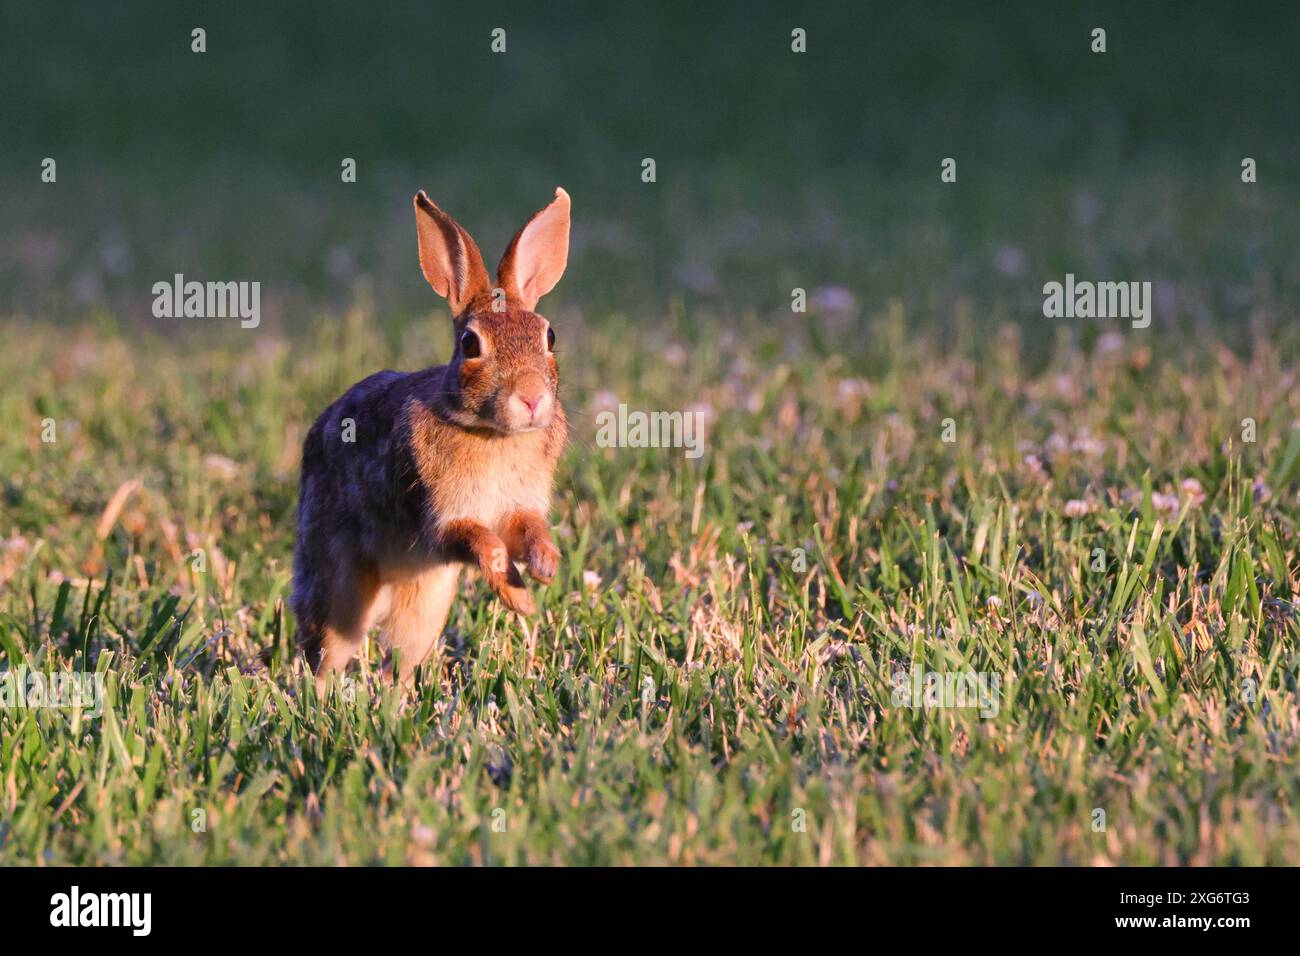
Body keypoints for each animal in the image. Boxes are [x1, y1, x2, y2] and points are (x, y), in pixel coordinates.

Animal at [292, 188, 571, 684]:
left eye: (549, 336)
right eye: (470, 344)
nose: (532, 398)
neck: (491, 433)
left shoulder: (519, 509)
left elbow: (528, 532)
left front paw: (543, 570)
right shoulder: (443, 521)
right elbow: (482, 544)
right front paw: (519, 595)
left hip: (426, 602)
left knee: (397, 661)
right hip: (337, 589)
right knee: (326, 654)